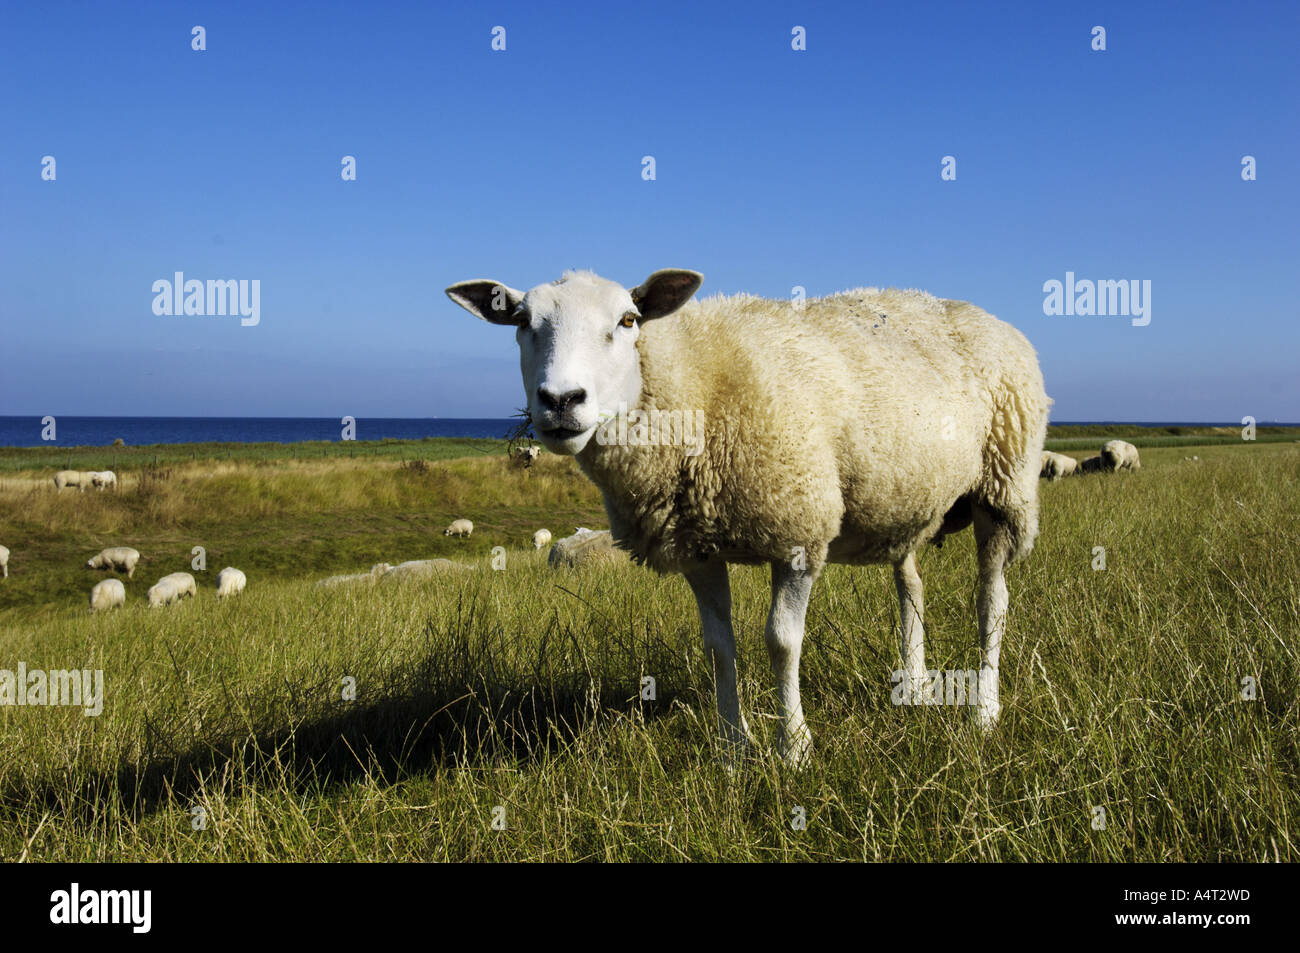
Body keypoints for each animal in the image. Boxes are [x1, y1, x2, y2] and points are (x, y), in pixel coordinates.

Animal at [448, 268, 1048, 761]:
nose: (560, 400)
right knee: (912, 586)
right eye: (521, 321)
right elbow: (719, 647)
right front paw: (734, 752)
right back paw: (916, 684)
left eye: (628, 319)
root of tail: (991, 317)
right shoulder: (694, 546)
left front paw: (794, 748)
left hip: (1004, 486)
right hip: (906, 501)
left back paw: (984, 713)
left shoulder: (800, 529)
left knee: (991, 602)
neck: (696, 382)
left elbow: (781, 642)